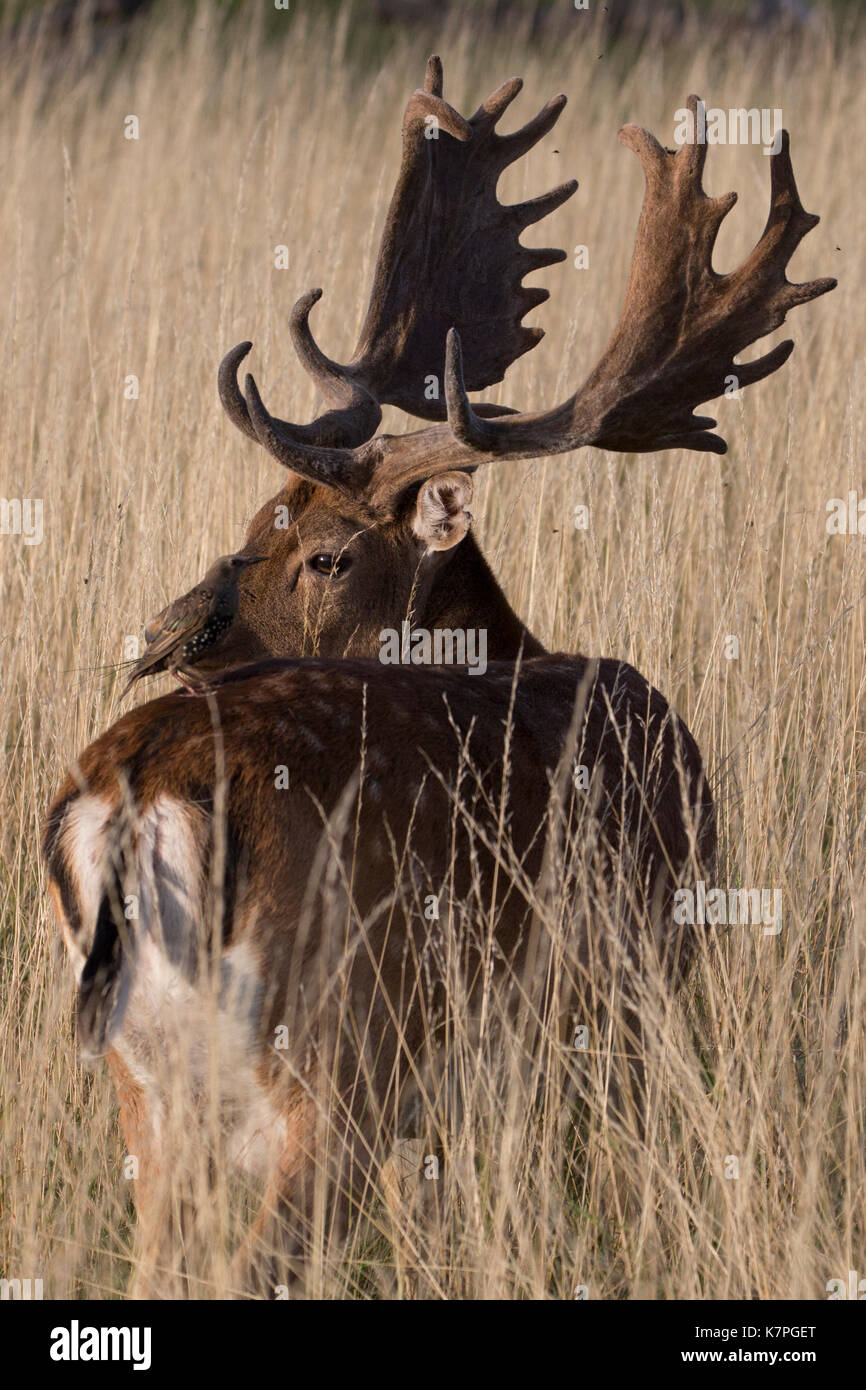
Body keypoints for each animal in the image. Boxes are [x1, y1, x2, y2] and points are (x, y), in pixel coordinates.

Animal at [44, 59, 834, 1297]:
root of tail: (129, 793)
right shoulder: (631, 1003)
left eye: (316, 548)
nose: (171, 639)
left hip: (147, 1088)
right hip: (341, 1051)